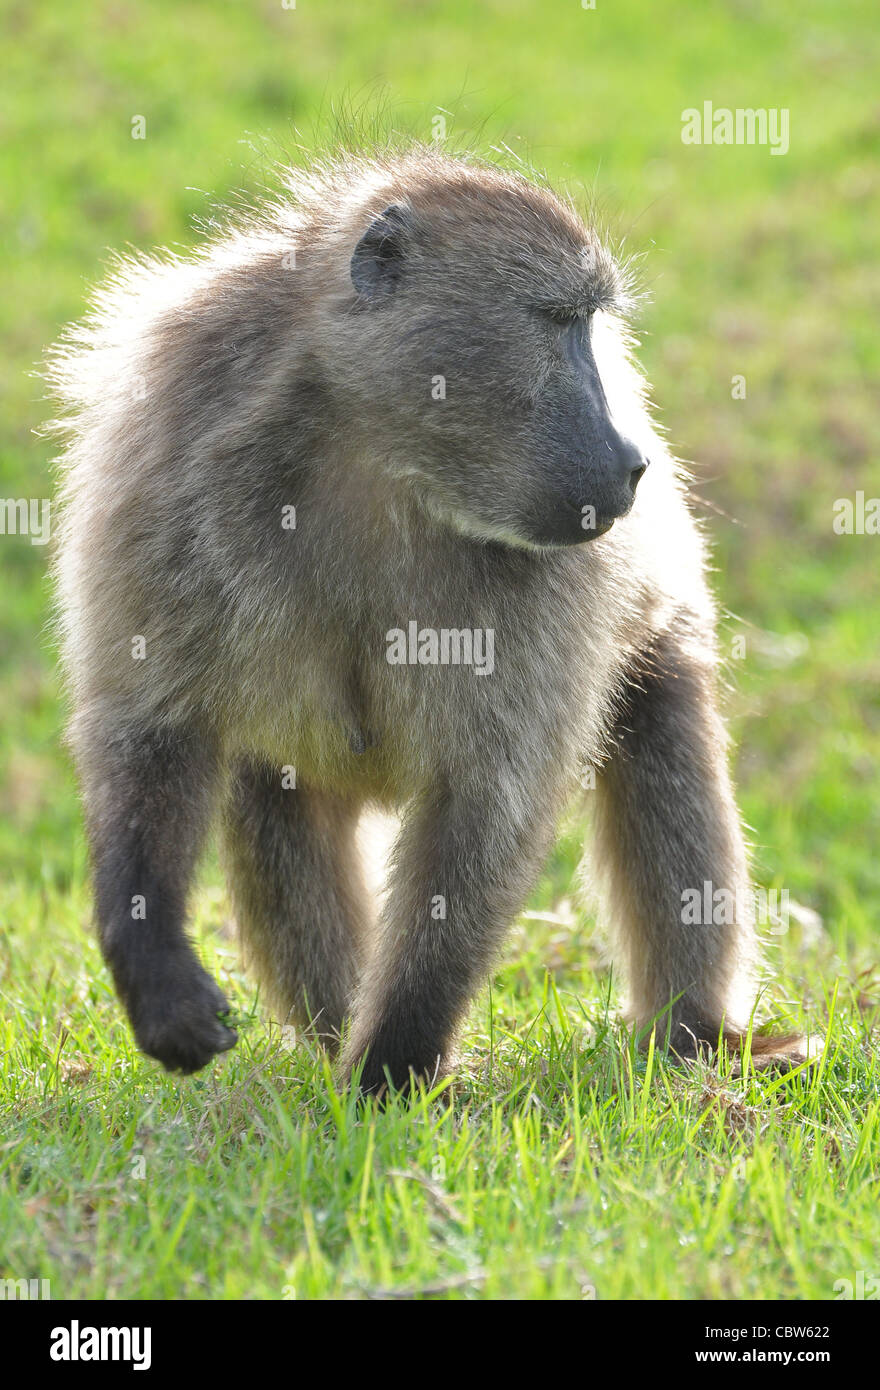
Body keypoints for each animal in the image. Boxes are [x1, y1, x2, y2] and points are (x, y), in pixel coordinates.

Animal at [46, 146, 812, 1093]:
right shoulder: (165, 461)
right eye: (558, 321)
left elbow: (486, 804)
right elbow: (150, 723)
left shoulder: (554, 583)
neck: (374, 454)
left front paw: (396, 1070)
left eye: (590, 327)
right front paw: (158, 978)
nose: (635, 463)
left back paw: (694, 1040)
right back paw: (336, 1029)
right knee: (276, 797)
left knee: (662, 747)